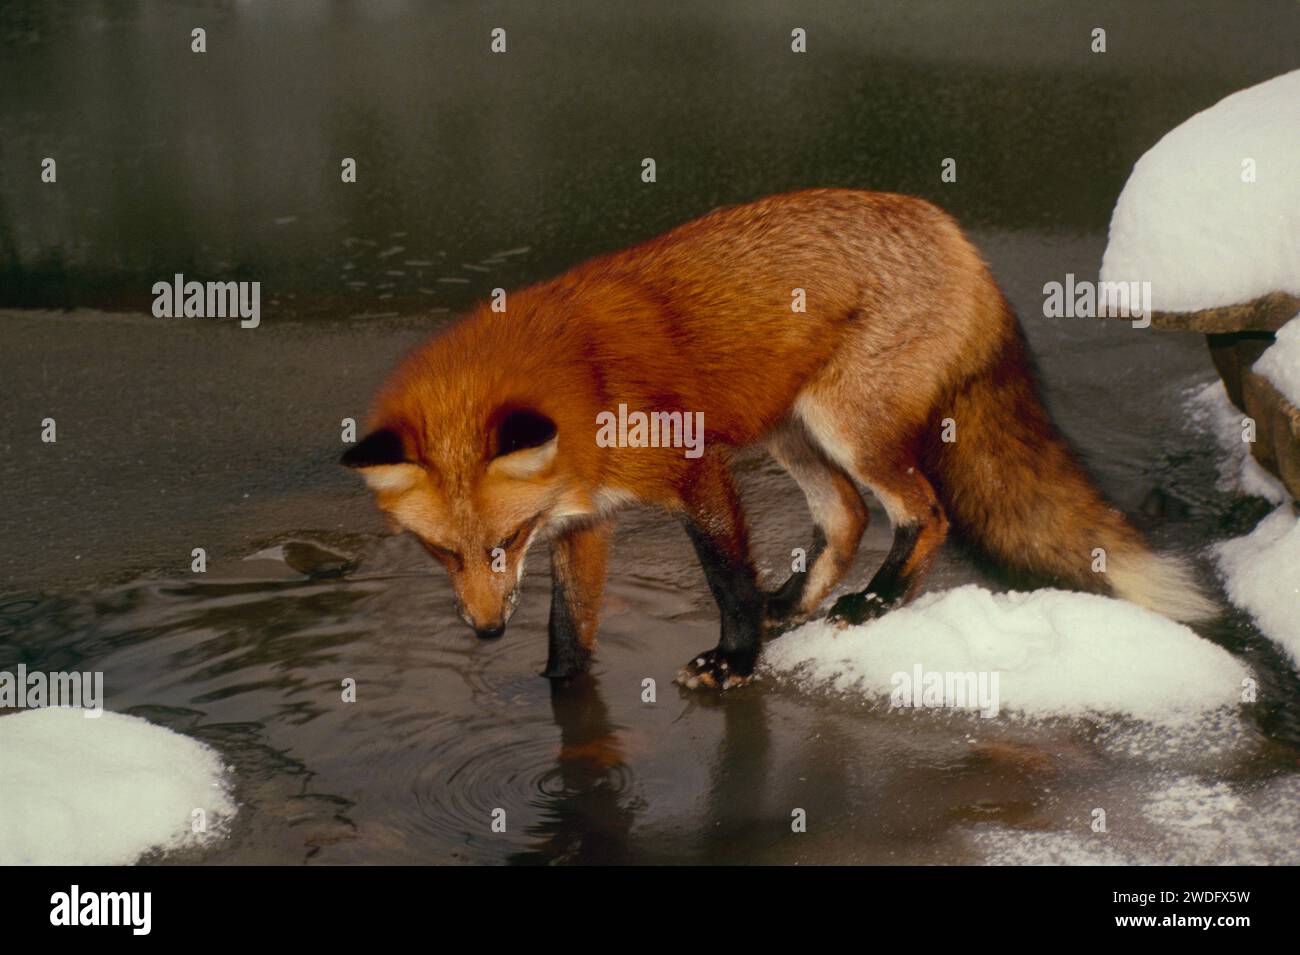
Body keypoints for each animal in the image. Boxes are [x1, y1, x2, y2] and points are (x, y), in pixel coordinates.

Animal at [341, 189, 1216, 690]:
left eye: (503, 541)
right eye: (442, 552)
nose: (487, 630)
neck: (582, 382)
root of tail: (957, 234)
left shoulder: (693, 468)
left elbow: (726, 576)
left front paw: (733, 657)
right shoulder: (583, 520)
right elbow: (569, 625)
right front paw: (561, 692)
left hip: (848, 428)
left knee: (923, 511)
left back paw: (873, 600)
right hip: (792, 434)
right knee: (848, 517)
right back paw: (794, 602)